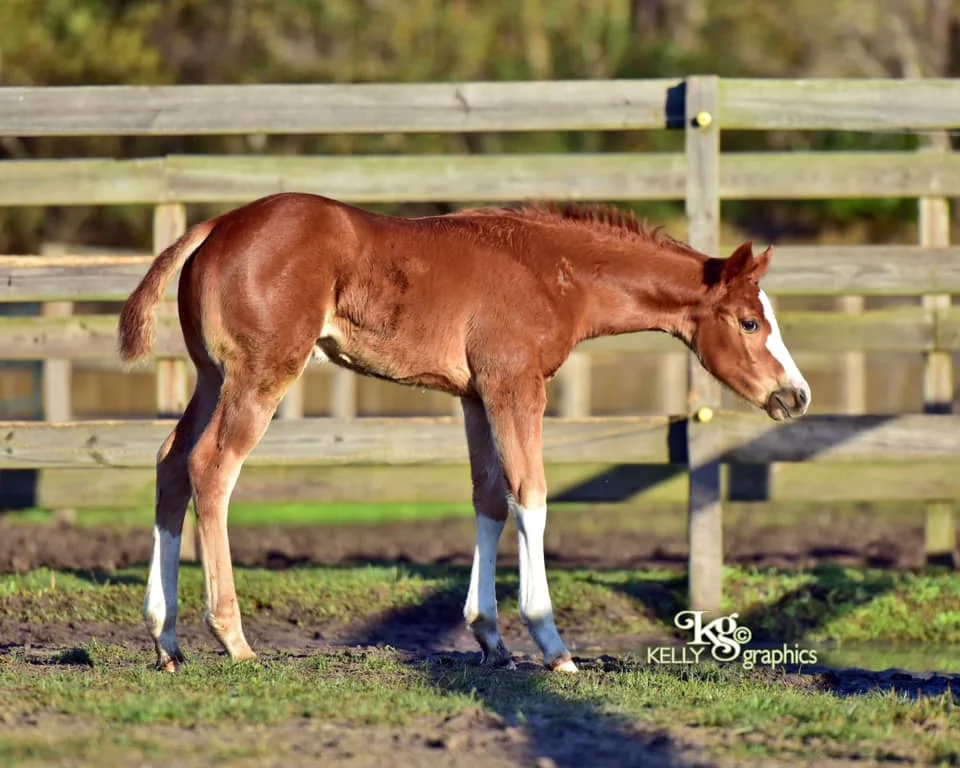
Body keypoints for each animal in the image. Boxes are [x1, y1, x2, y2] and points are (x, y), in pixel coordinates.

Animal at [118, 192, 810, 674]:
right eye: (750, 322)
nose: (796, 396)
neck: (553, 272)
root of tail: (216, 227)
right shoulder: (515, 385)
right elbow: (530, 496)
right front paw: (551, 643)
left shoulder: (477, 396)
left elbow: (488, 499)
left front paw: (490, 638)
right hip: (261, 374)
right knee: (211, 467)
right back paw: (231, 638)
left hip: (212, 376)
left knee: (169, 463)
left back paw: (166, 639)